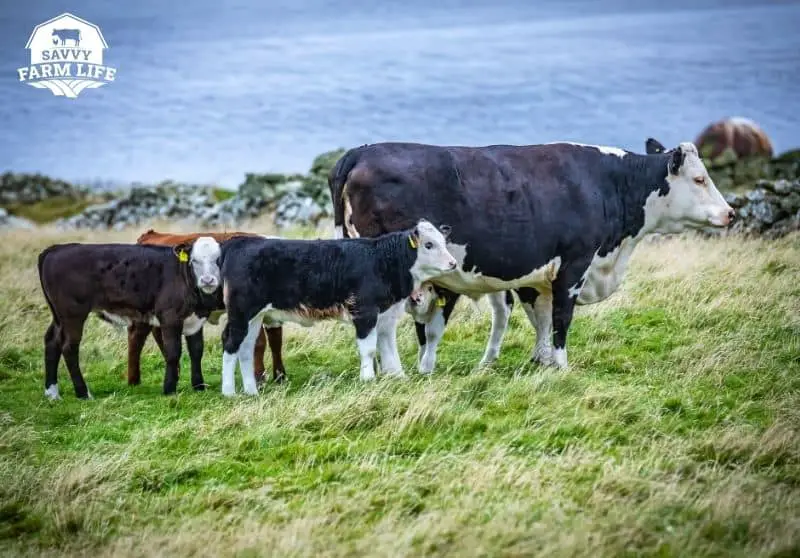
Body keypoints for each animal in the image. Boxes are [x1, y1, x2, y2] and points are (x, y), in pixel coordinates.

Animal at [37, 237, 223, 400]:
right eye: (194, 261)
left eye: (218, 260)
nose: (207, 280)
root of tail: (56, 249)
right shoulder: (170, 318)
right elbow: (173, 352)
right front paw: (169, 389)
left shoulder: (195, 320)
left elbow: (197, 351)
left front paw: (199, 386)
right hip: (73, 314)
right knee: (69, 347)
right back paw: (83, 393)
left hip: (59, 316)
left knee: (52, 341)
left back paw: (52, 393)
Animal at [132, 229, 287, 386]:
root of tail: (153, 234)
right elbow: (258, 343)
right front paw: (259, 379)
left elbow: (276, 341)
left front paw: (280, 377)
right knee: (136, 336)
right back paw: (134, 380)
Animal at [217, 219, 458, 396]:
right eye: (429, 245)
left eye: (444, 242)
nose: (453, 263)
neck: (381, 260)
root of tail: (239, 242)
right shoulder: (365, 312)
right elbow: (369, 349)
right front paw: (367, 379)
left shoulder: (386, 315)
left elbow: (389, 347)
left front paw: (398, 376)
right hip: (241, 313)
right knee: (230, 345)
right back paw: (229, 392)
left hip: (255, 316)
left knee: (246, 349)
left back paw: (251, 391)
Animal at [328, 138, 735, 373]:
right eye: (700, 179)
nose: (730, 213)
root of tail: (361, 151)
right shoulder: (575, 262)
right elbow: (560, 318)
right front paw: (561, 367)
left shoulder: (536, 273)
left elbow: (538, 317)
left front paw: (541, 361)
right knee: (383, 325)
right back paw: (393, 372)